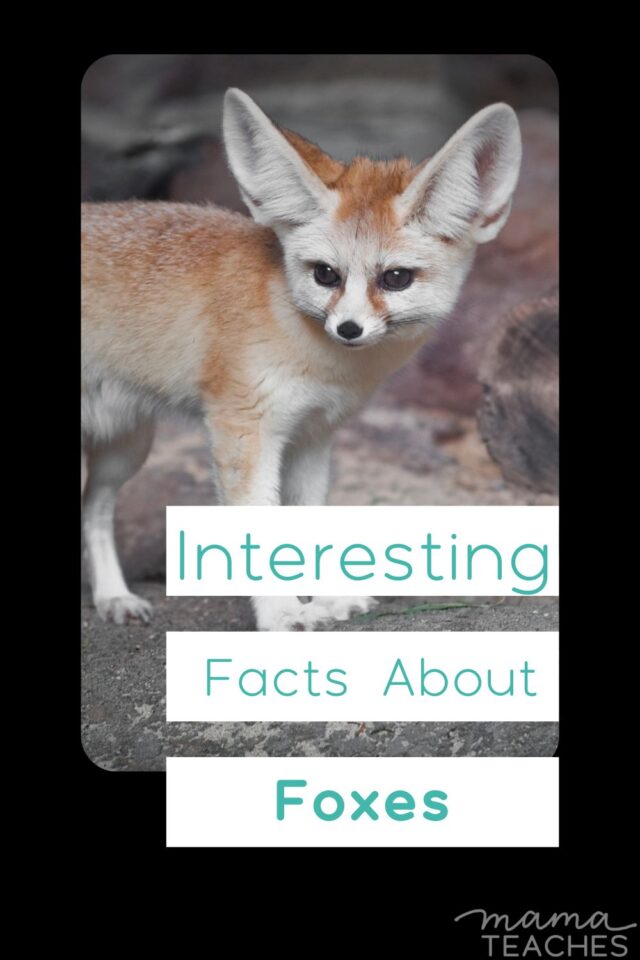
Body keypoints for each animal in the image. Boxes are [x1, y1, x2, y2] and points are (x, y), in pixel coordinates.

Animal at [81, 87, 522, 631]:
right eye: (325, 274)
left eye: (395, 278)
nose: (348, 329)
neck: (318, 362)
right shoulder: (242, 431)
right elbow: (258, 529)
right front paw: (281, 613)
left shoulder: (312, 435)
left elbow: (308, 524)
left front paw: (324, 600)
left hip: (125, 447)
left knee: (93, 507)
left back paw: (111, 595)